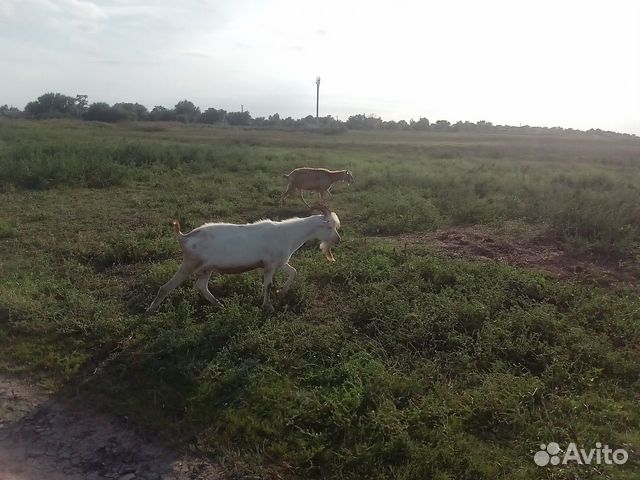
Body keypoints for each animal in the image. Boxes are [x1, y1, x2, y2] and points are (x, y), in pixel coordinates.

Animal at [145, 205, 341, 314]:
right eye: (329, 226)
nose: (338, 240)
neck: (288, 233)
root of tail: (185, 237)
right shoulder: (269, 265)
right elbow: (268, 285)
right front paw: (268, 306)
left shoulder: (280, 262)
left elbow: (293, 272)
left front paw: (282, 292)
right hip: (189, 264)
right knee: (166, 287)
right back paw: (150, 310)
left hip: (206, 269)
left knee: (201, 287)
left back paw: (220, 305)